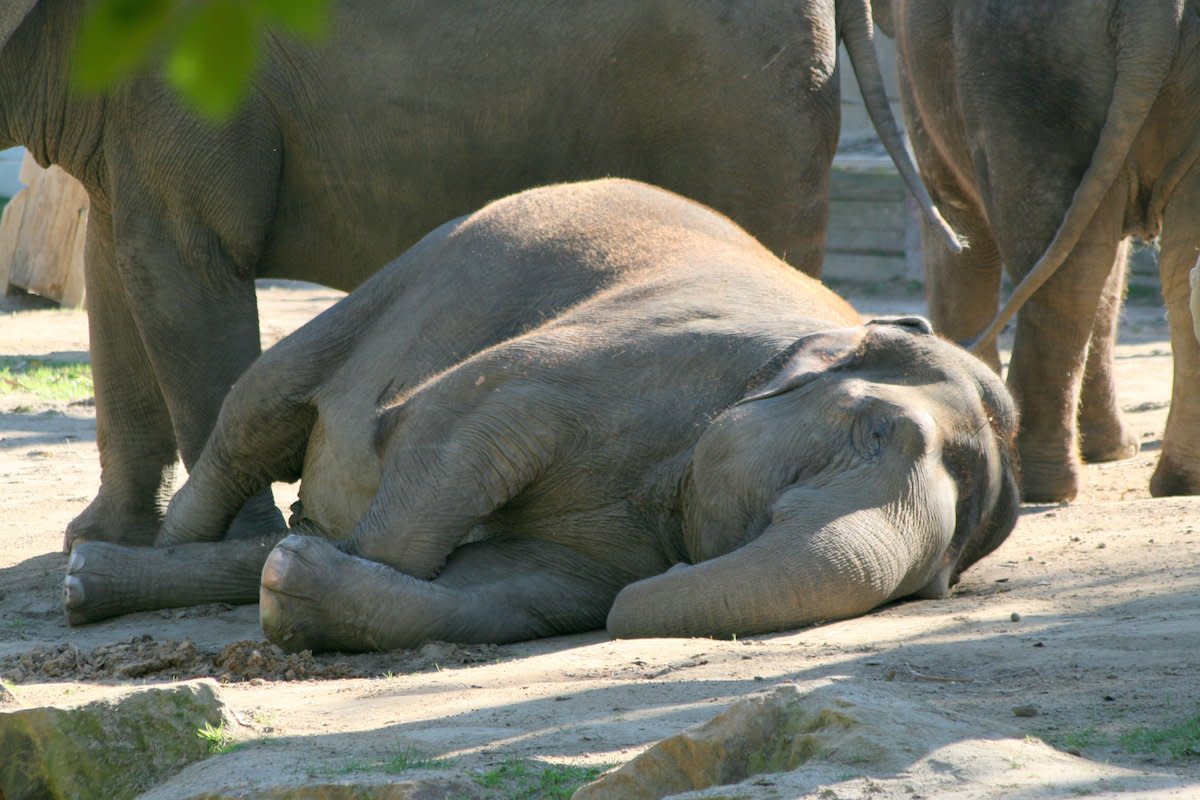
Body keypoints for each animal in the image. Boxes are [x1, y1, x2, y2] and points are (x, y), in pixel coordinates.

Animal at [61, 179, 1019, 652]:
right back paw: (148, 558)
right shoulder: (641, 359)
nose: (663, 588)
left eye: (933, 583)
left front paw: (297, 583)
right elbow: (459, 421)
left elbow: (513, 594)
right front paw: (304, 584)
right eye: (877, 433)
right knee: (258, 411)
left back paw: (105, 582)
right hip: (401, 276)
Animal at [875, 0, 1200, 502]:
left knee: (1058, 256)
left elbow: (958, 232)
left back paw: (1033, 481)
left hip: (1027, 69)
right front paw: (1113, 451)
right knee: (1121, 261)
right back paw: (1177, 482)